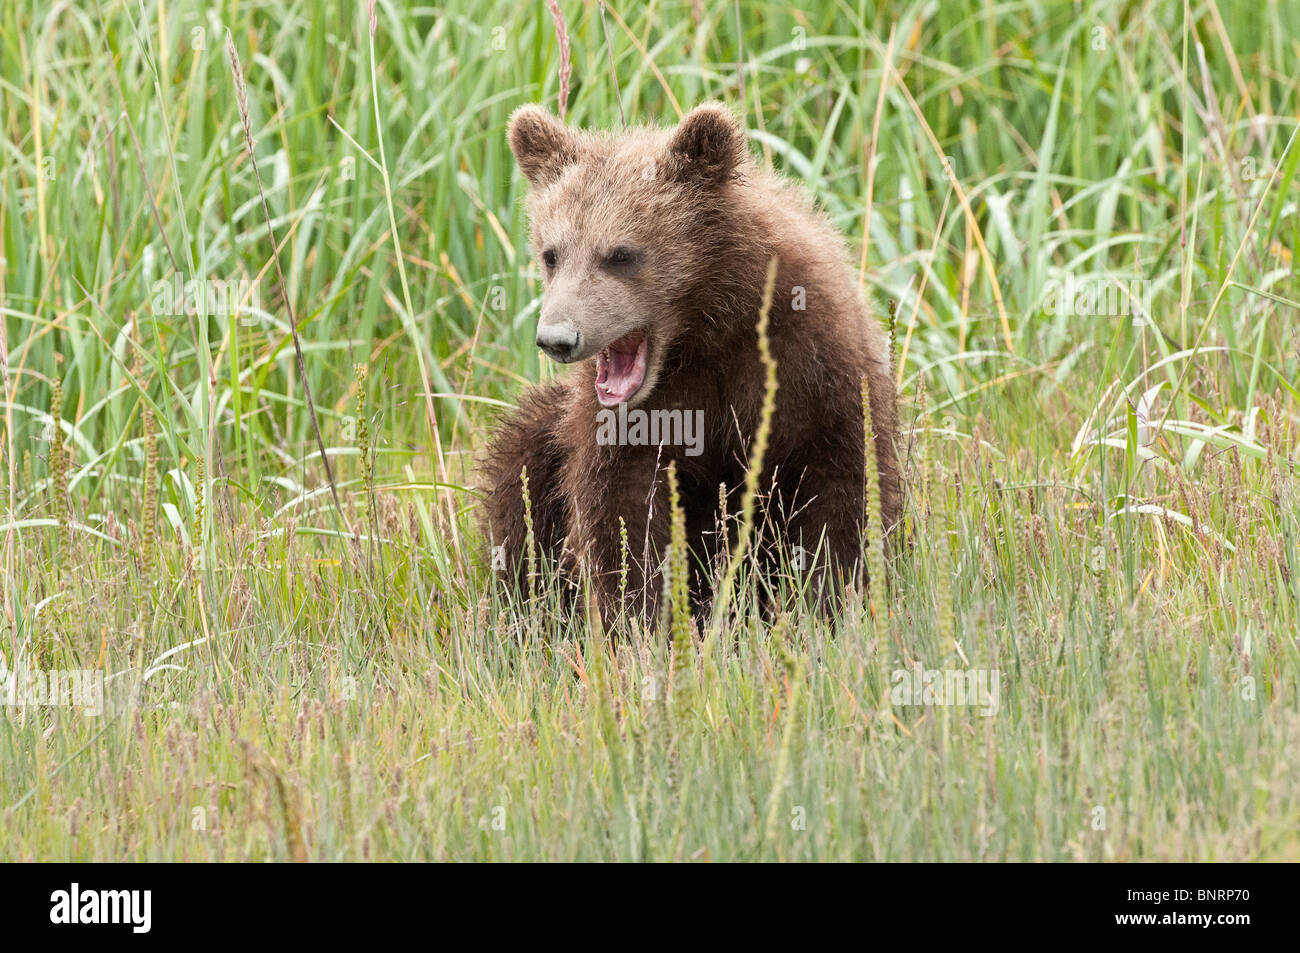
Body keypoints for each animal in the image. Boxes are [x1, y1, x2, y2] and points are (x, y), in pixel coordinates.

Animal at [480, 102, 901, 629]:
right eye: (551, 253)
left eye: (620, 254)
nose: (557, 338)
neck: (706, 329)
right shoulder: (642, 416)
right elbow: (622, 512)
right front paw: (640, 618)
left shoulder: (813, 363)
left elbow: (841, 491)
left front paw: (829, 606)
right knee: (517, 476)